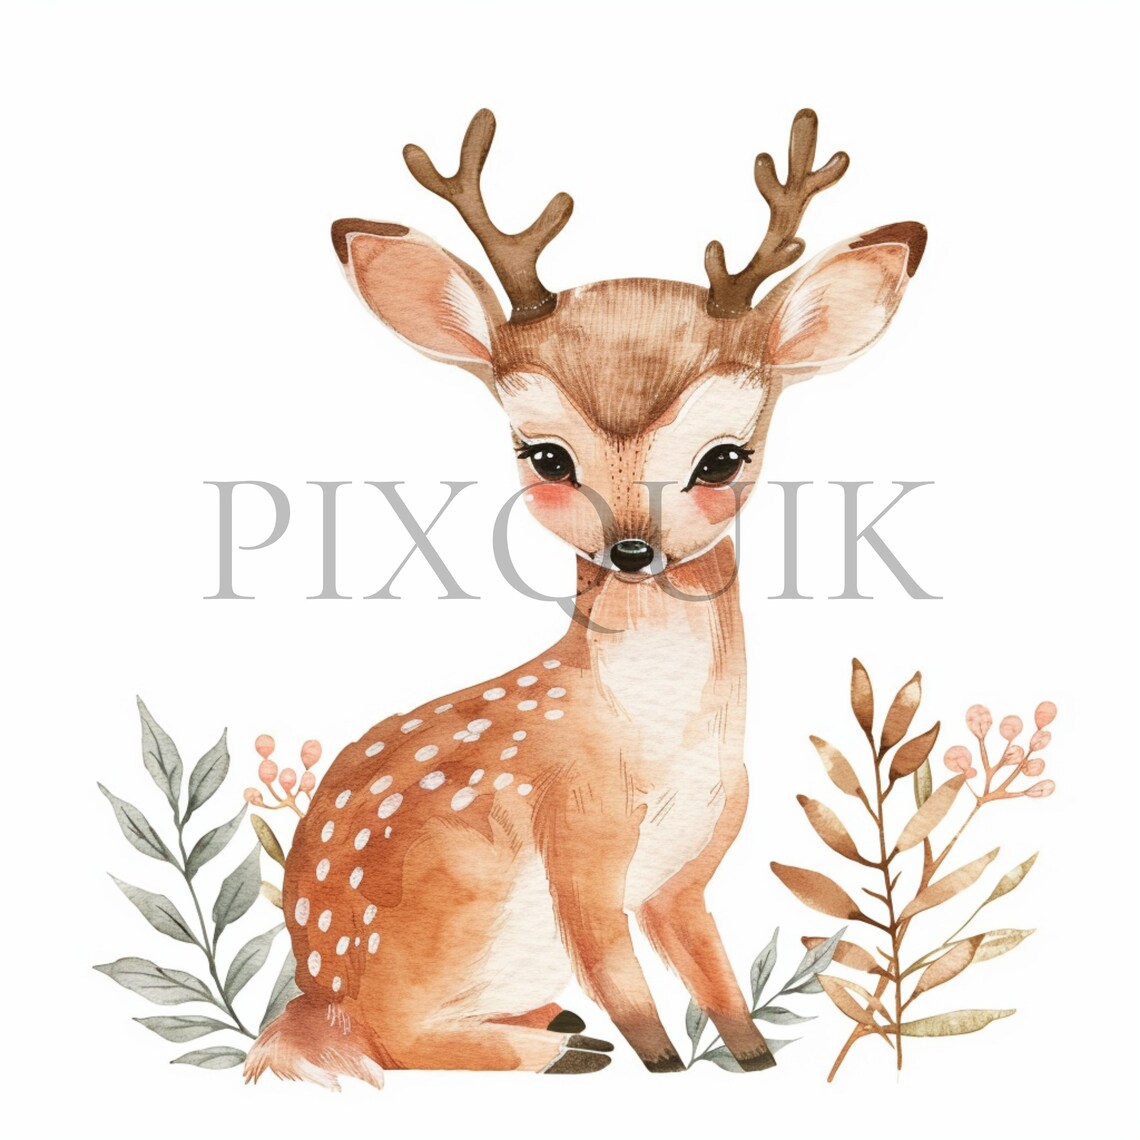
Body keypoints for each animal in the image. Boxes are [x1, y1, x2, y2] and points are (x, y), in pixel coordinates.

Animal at [244, 108, 925, 1089]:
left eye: (725, 456)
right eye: (547, 456)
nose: (631, 549)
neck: (661, 744)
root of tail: (308, 987)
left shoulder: (689, 871)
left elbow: (716, 979)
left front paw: (756, 1060)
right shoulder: (576, 831)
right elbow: (625, 986)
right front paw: (664, 1064)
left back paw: (555, 1021)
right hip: (449, 887)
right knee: (389, 1036)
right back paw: (563, 1047)